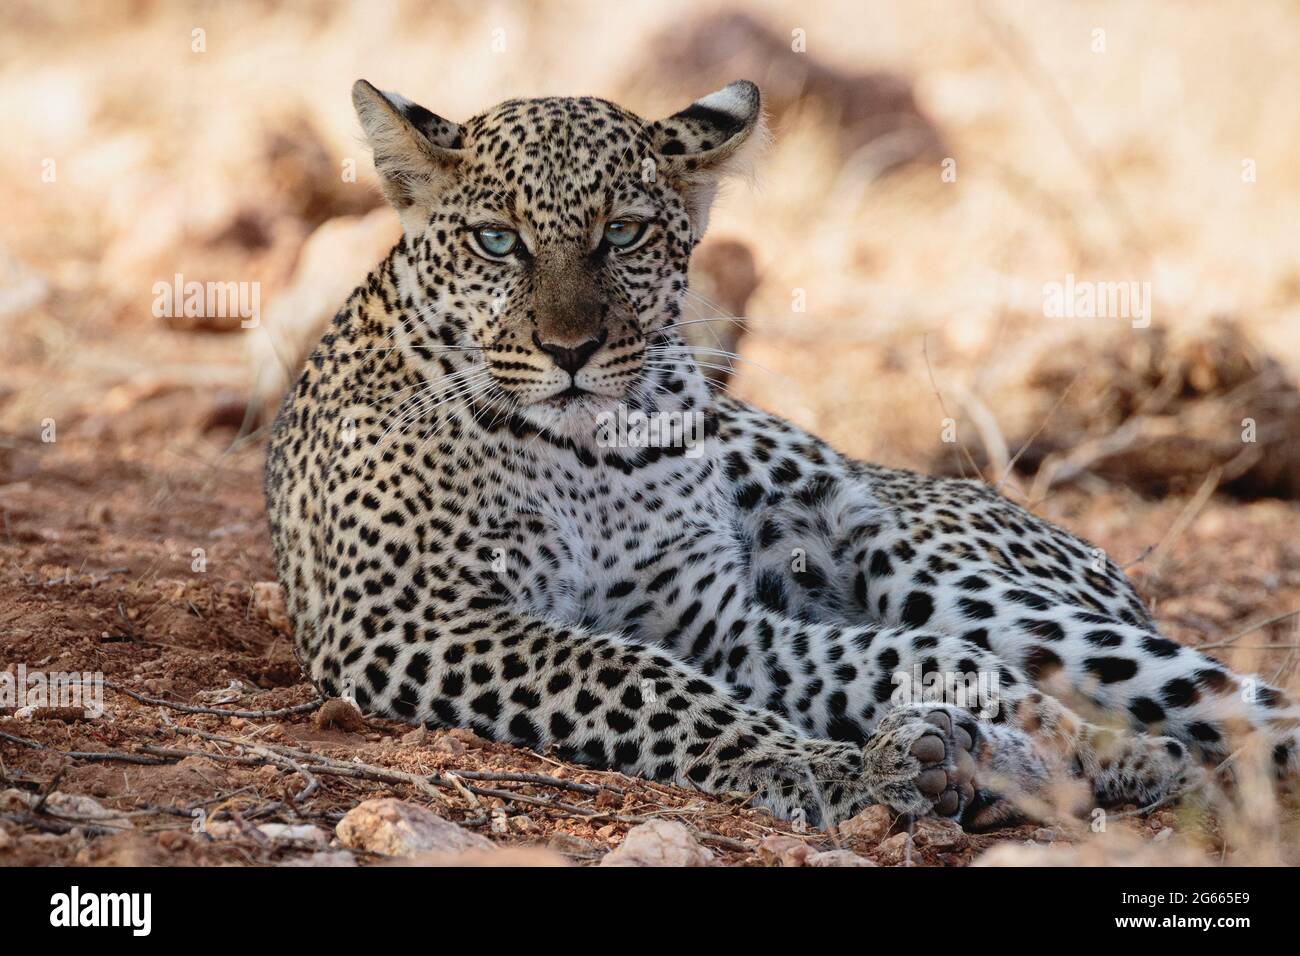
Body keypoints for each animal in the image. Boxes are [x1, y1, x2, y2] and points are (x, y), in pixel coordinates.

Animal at [265, 78, 1299, 830]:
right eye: (495, 242)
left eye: (624, 233)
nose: (572, 351)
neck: (587, 455)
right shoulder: (410, 617)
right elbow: (638, 680)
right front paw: (829, 765)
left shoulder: (711, 623)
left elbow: (869, 661)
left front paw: (896, 751)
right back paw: (988, 760)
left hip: (959, 577)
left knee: (1209, 699)